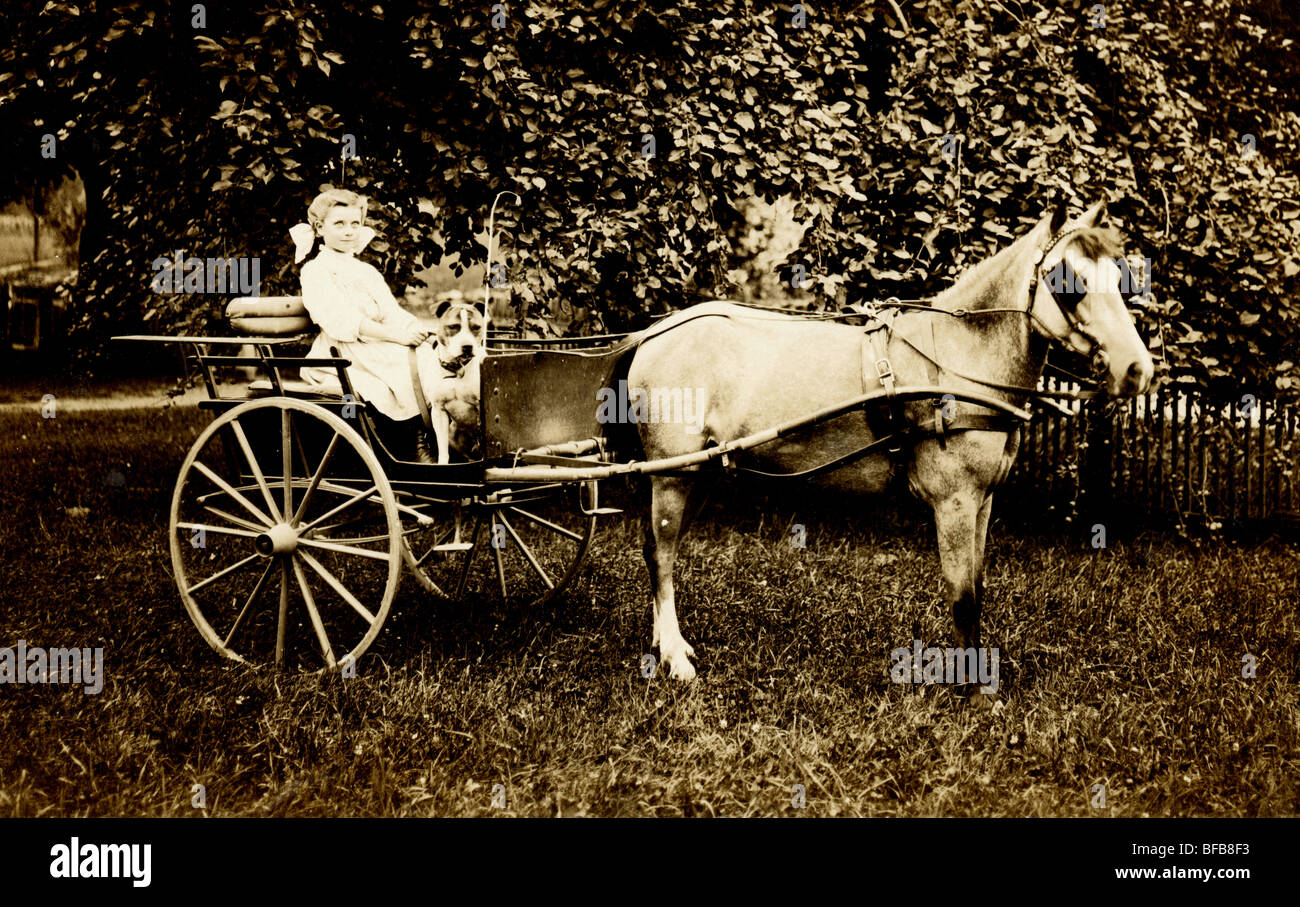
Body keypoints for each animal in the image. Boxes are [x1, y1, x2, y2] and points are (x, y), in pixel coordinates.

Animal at [625, 201, 1154, 687]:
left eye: (1120, 275)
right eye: (1070, 281)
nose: (1137, 369)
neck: (957, 358)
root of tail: (651, 334)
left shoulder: (983, 501)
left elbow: (978, 585)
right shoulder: (954, 501)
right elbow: (963, 597)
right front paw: (975, 693)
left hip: (700, 472)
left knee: (659, 551)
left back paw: (666, 641)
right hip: (672, 474)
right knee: (661, 555)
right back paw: (673, 657)